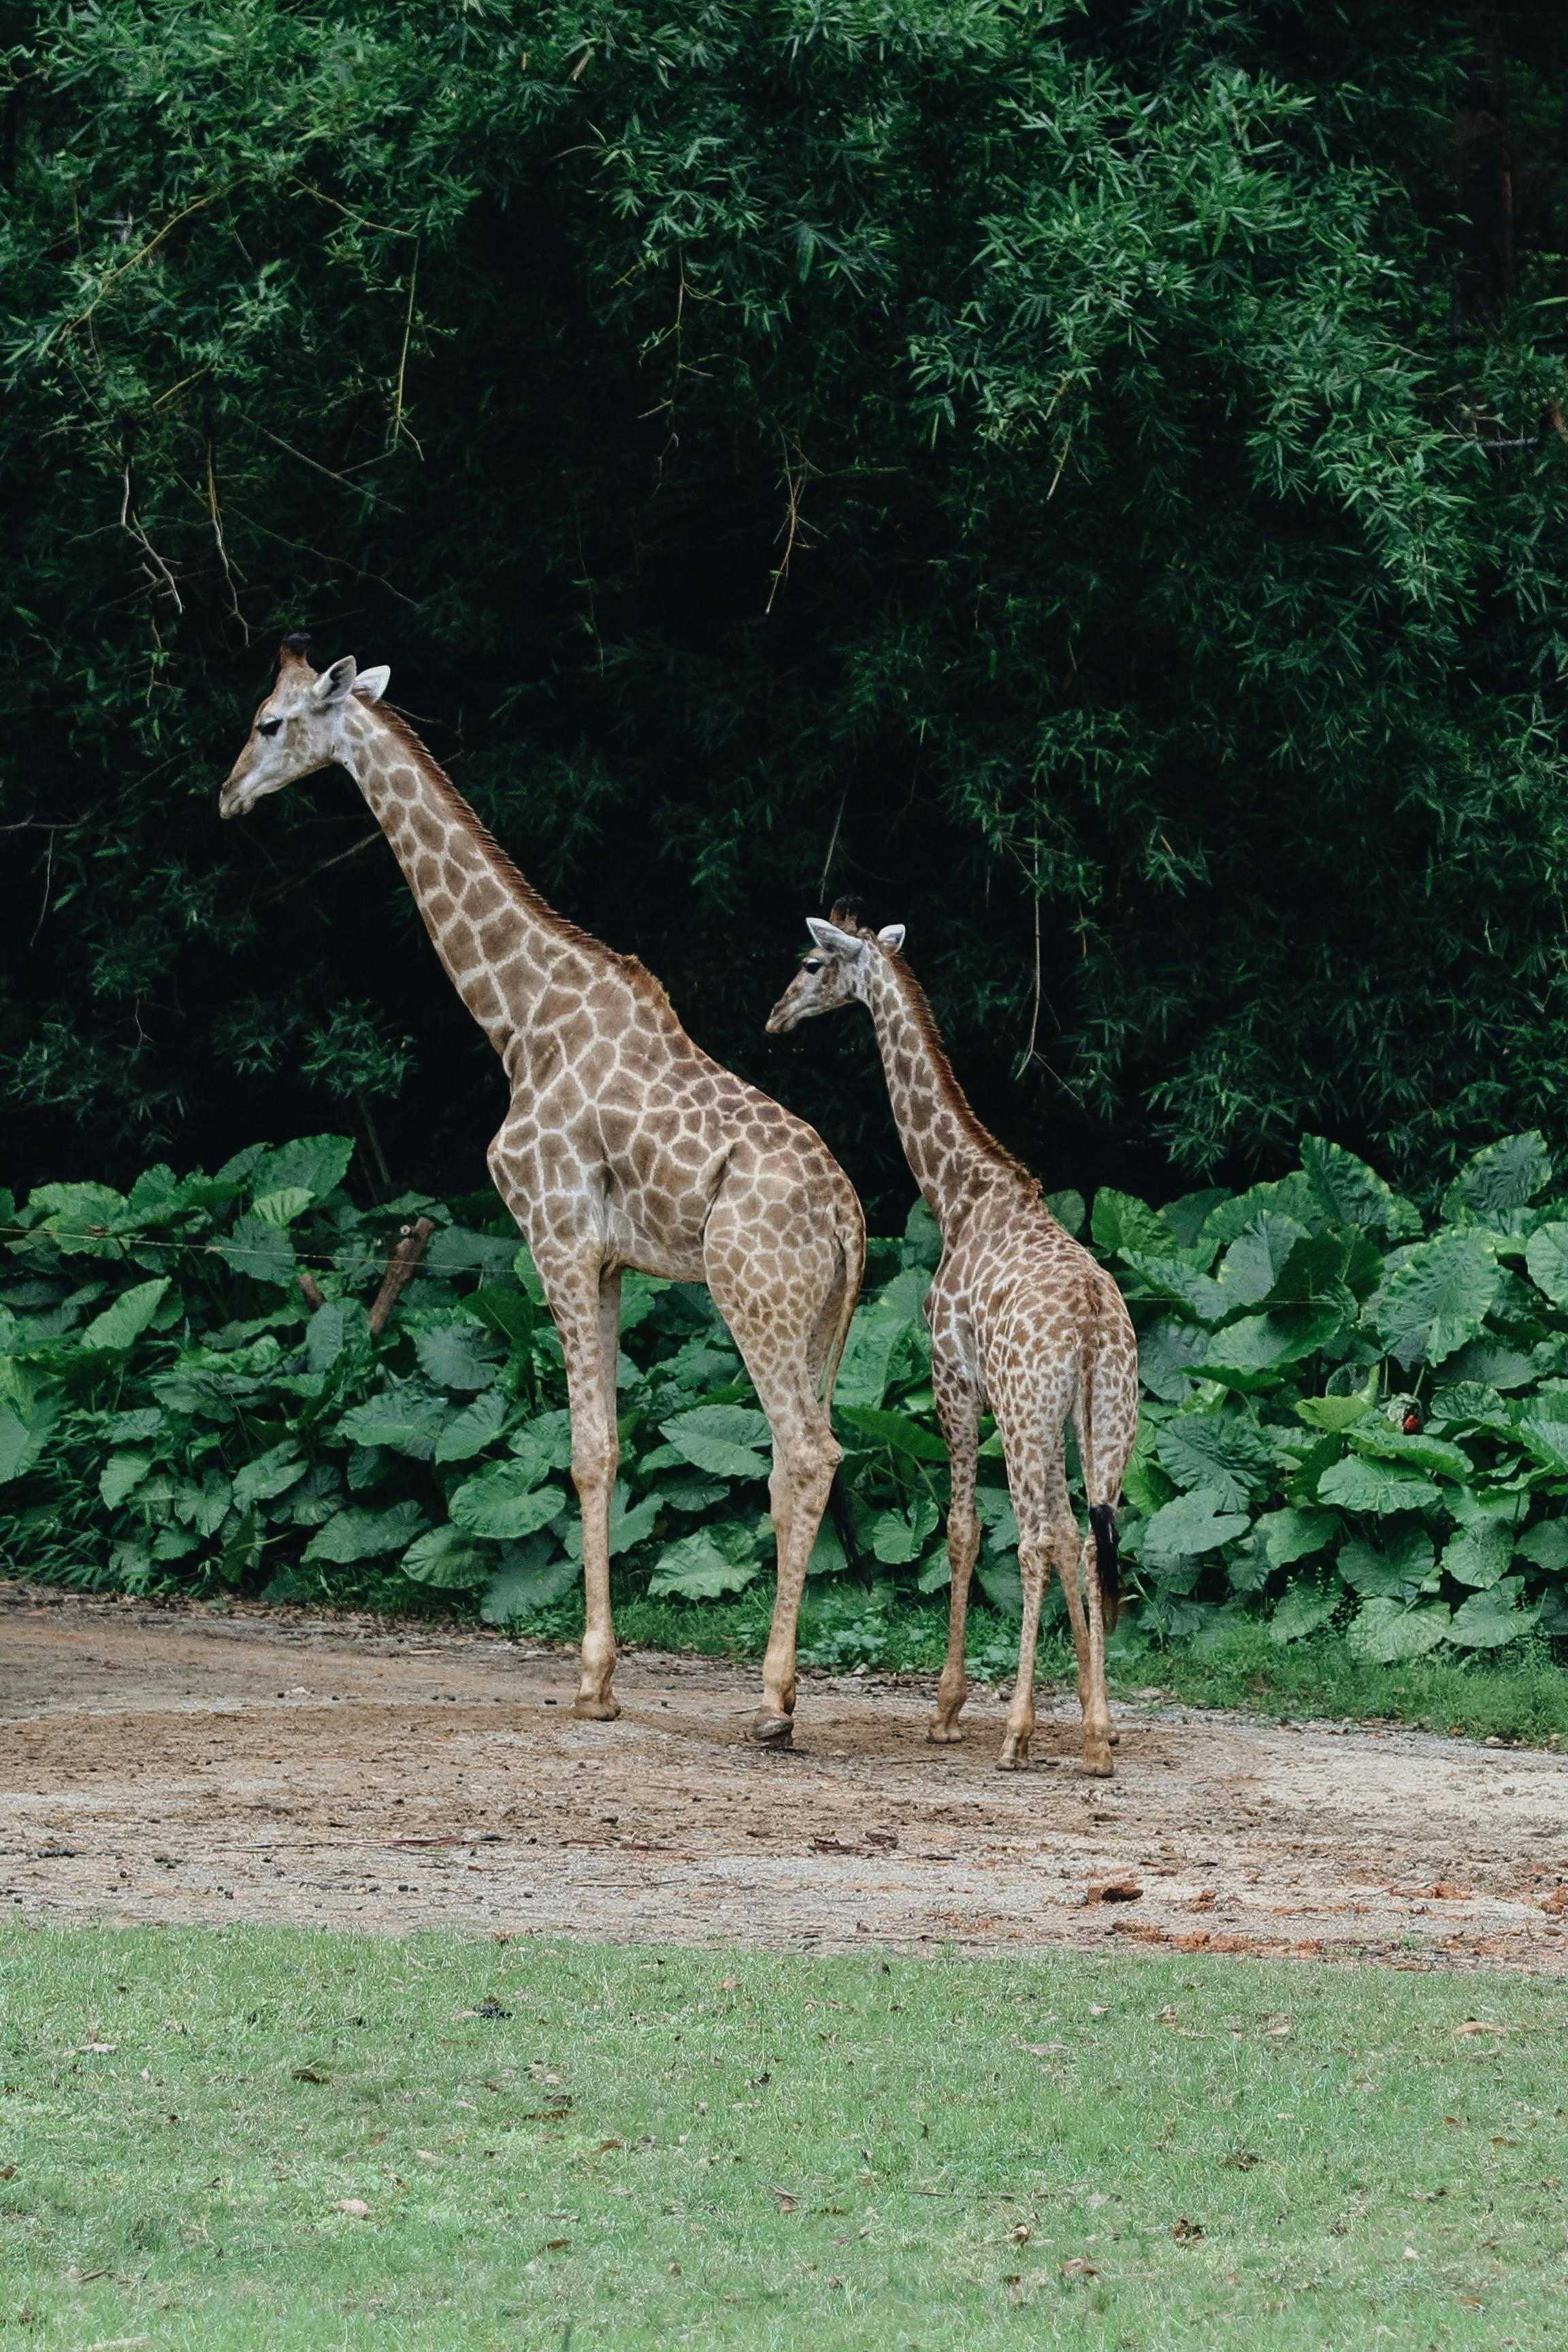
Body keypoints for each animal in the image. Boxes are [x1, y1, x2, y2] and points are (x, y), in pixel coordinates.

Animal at [219, 636, 864, 1743]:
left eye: (270, 722)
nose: (226, 796)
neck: (518, 1017)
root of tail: (851, 1219)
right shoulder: (607, 1260)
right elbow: (610, 1442)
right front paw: (603, 1677)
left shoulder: (554, 1235)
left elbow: (588, 1448)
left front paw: (593, 1679)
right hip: (821, 1317)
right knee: (807, 1454)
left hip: (753, 1296)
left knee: (804, 1453)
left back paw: (773, 1707)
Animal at [766, 903, 1139, 1776]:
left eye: (810, 964)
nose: (775, 1018)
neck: (960, 1194)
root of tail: (1092, 1321)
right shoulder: (1039, 1411)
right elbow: (1067, 1539)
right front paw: (1093, 1714)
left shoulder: (952, 1377)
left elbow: (965, 1530)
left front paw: (950, 1708)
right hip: (1105, 1416)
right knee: (1091, 1534)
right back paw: (1095, 1741)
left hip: (1027, 1410)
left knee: (1034, 1538)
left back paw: (1014, 1734)